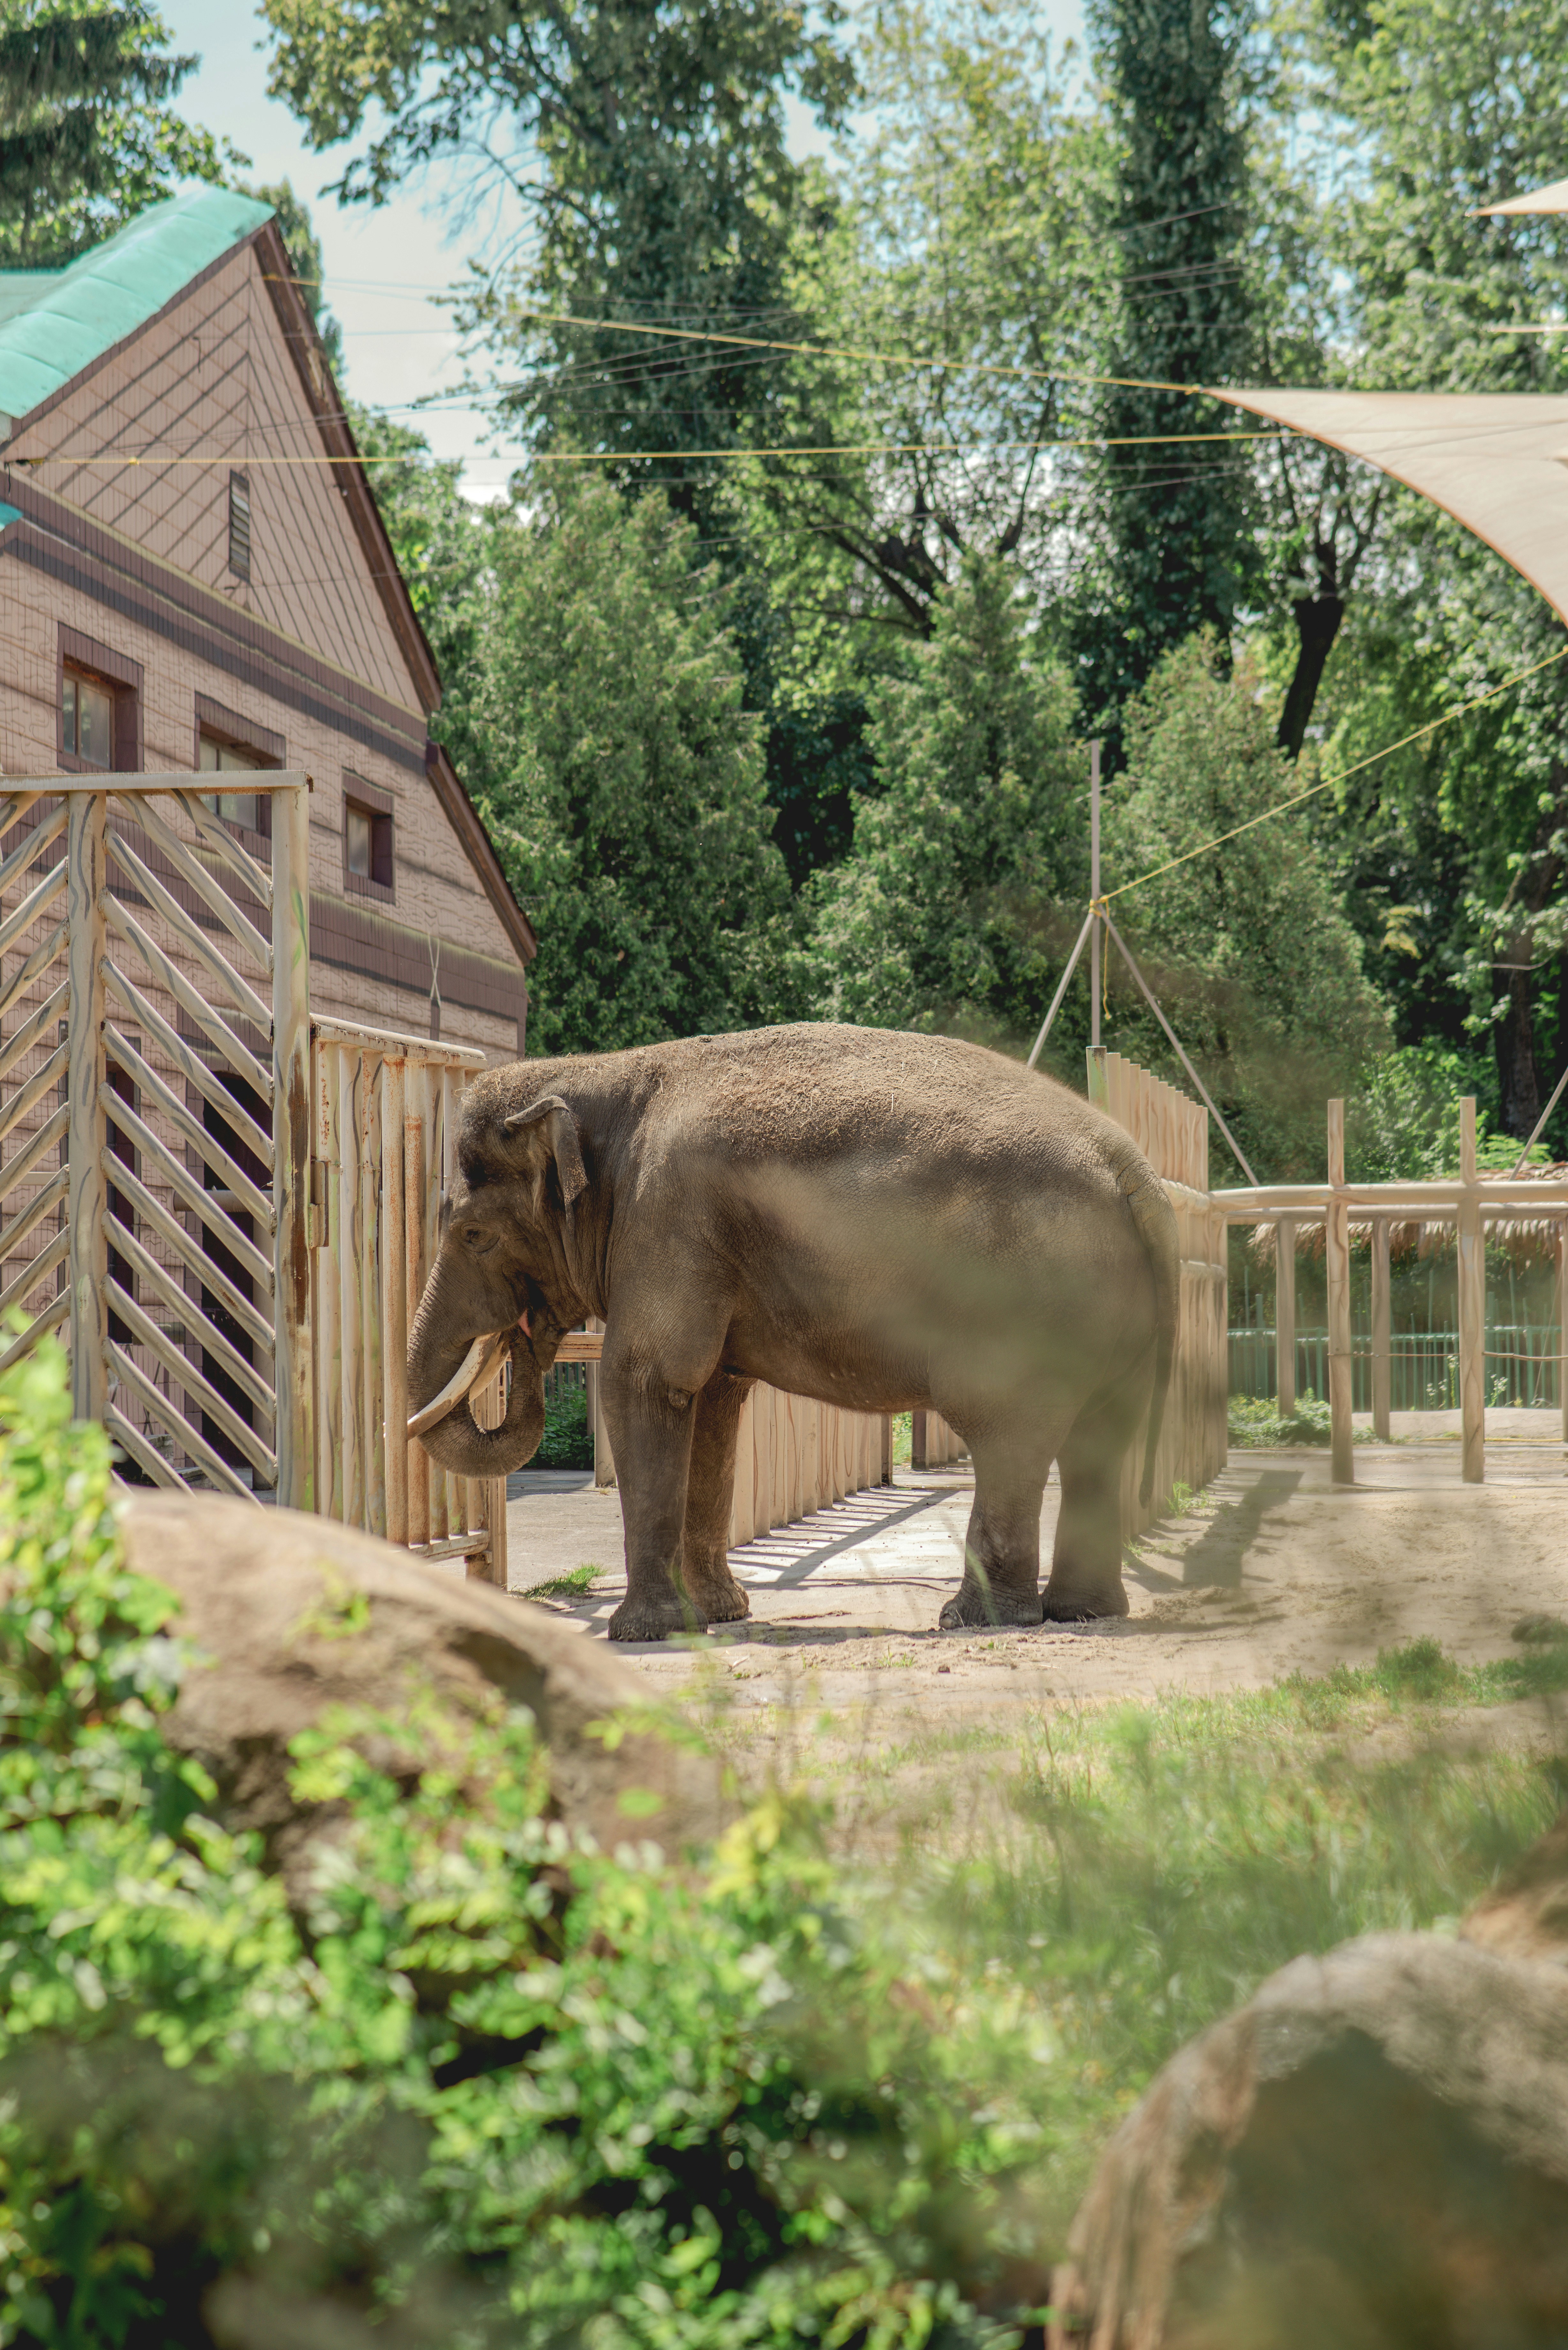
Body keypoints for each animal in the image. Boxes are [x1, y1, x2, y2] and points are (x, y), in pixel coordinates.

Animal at [406, 1023, 1178, 1643]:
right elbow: (714, 1399)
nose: (525, 1335)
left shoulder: (667, 1219)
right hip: (1114, 1310)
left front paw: (645, 1634)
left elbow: (648, 1377)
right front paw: (721, 1616)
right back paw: (1080, 1612)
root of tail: (1130, 1167)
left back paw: (975, 1620)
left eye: (472, 1234)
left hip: (1022, 1303)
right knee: (1100, 1439)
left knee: (1005, 1433)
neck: (604, 1076)